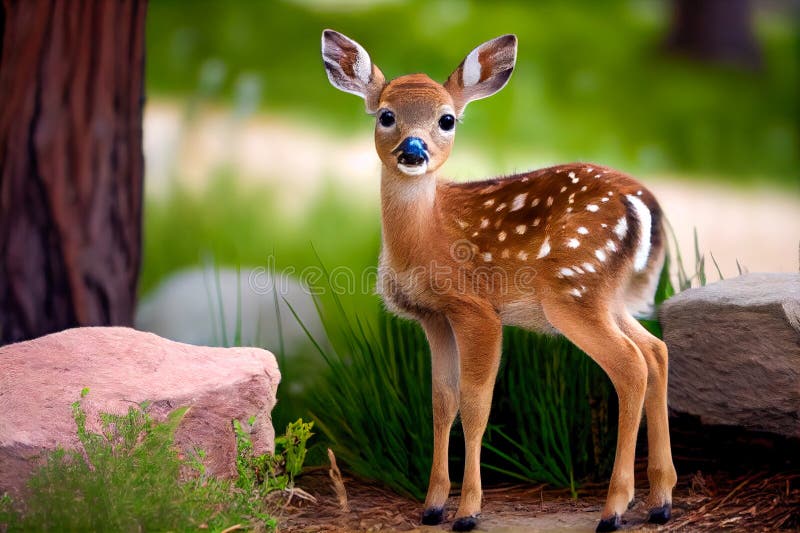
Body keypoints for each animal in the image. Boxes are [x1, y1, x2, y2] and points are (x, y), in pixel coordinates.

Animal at [321, 30, 677, 532]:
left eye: (447, 119)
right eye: (386, 115)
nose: (413, 151)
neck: (427, 234)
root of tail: (644, 205)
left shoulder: (476, 310)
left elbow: (476, 403)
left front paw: (468, 511)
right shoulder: (433, 316)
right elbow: (441, 402)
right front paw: (431, 506)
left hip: (572, 289)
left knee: (631, 366)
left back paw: (614, 509)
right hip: (609, 298)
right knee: (655, 351)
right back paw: (660, 502)